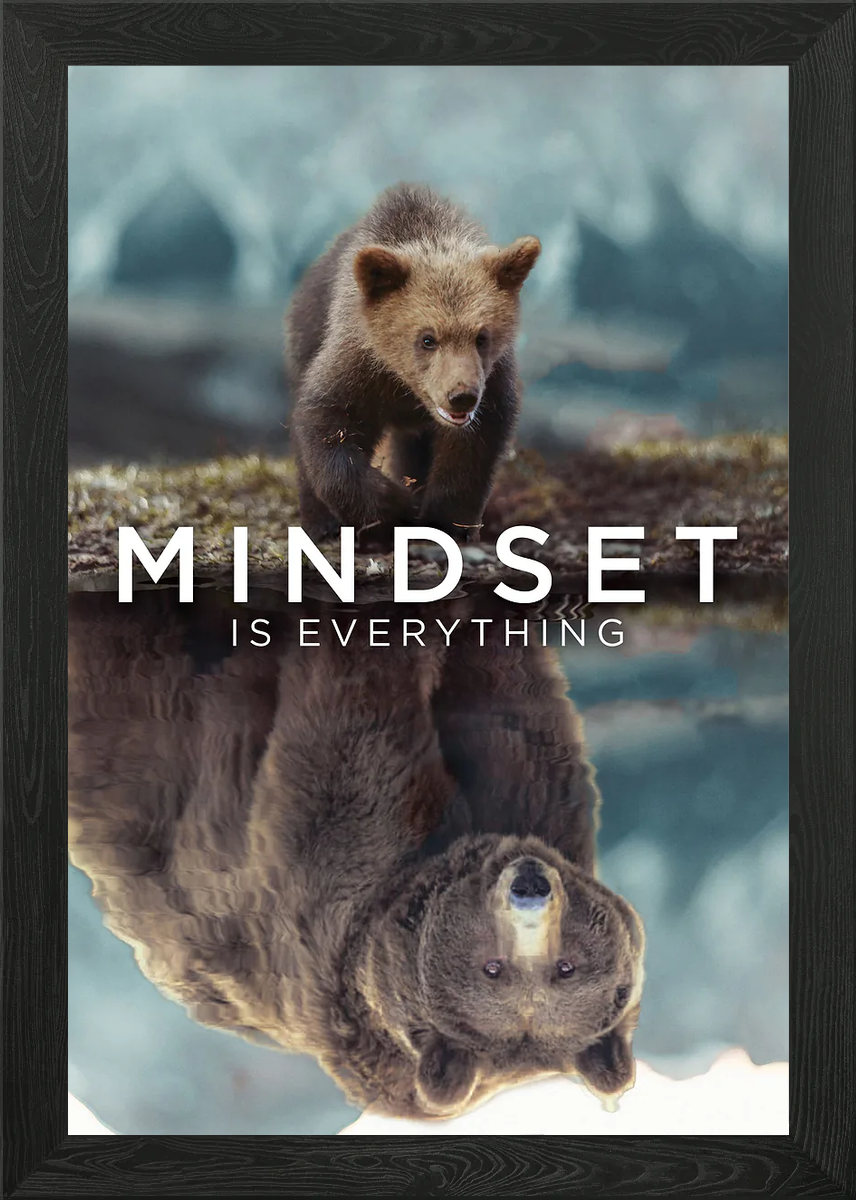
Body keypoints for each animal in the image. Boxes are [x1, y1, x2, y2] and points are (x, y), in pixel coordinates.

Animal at [68, 591, 645, 1121]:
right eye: (495, 968)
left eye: (561, 968)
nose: (530, 885)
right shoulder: (532, 807)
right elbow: (507, 703)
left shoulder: (329, 899)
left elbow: (344, 743)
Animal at [285, 183, 541, 543]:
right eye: (427, 338)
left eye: (482, 336)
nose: (461, 396)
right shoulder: (359, 366)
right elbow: (328, 424)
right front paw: (393, 507)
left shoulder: (493, 381)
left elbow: (473, 451)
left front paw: (445, 520)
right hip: (307, 332)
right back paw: (320, 522)